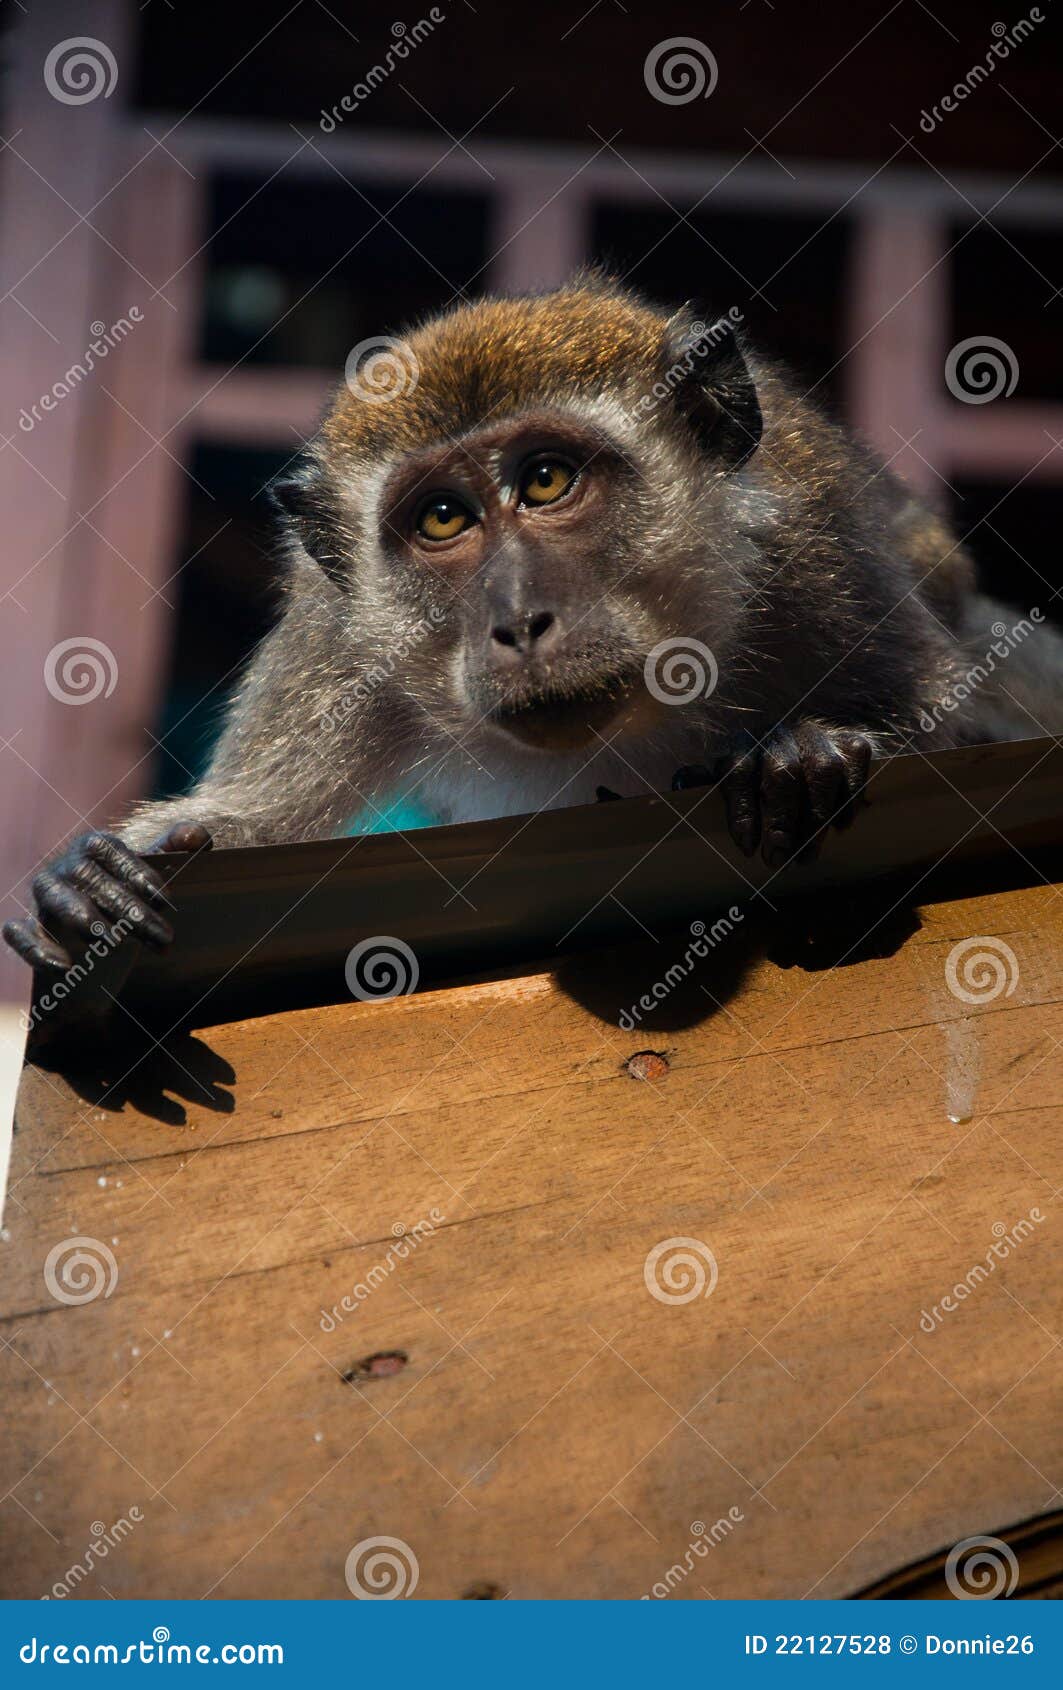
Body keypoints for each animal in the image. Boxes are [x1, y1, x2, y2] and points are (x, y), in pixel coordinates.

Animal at [6, 271, 1062, 979]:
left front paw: (799, 760)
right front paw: (85, 890)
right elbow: (246, 823)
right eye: (442, 520)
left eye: (547, 480)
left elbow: (960, 736)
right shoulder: (335, 651)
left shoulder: (815, 547)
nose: (518, 619)